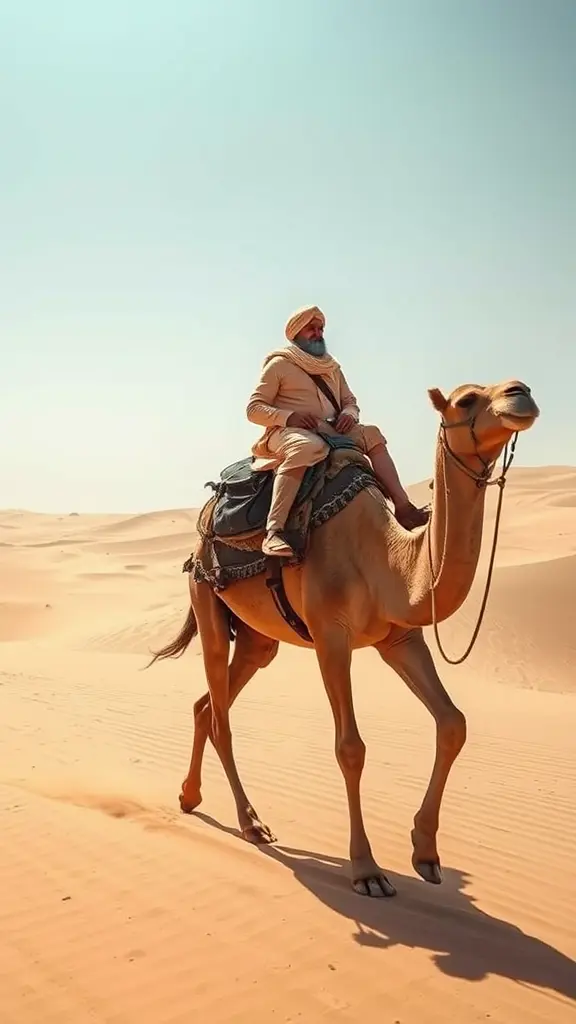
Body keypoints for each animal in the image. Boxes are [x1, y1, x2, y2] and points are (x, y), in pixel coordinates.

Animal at [151, 379, 539, 898]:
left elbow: (453, 723)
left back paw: (190, 796)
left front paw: (425, 852)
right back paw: (251, 823)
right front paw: (367, 870)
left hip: (257, 639)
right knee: (219, 713)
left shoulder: (400, 637)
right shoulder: (330, 636)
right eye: (466, 400)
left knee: (209, 703)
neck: (388, 559)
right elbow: (350, 748)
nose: (522, 393)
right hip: (205, 598)